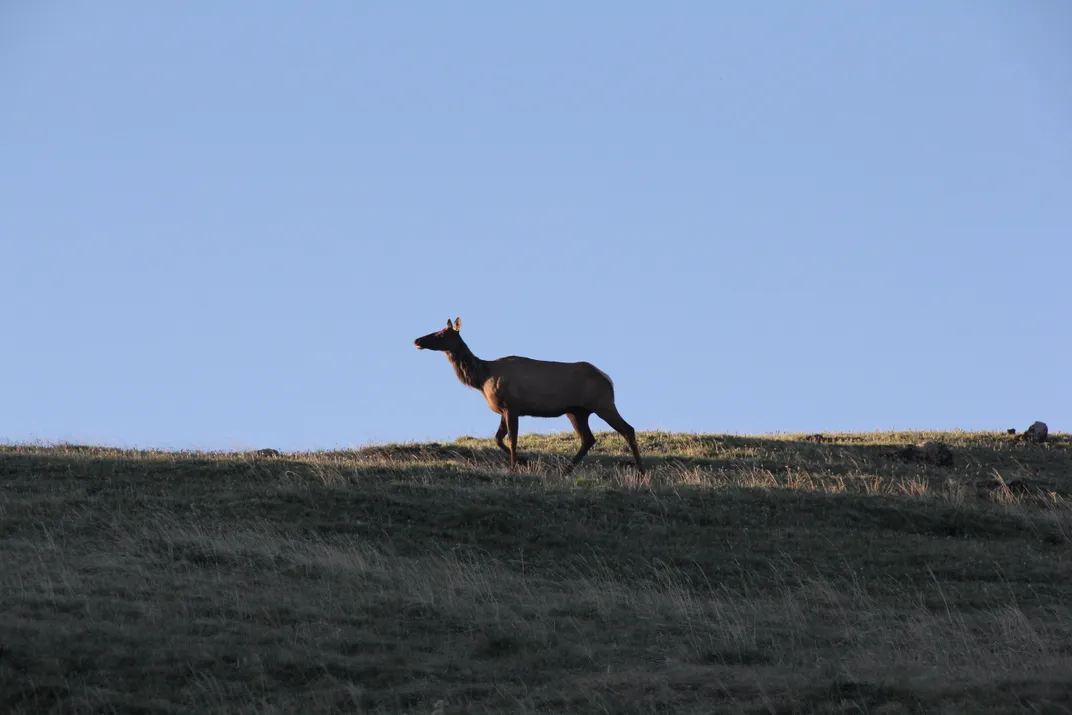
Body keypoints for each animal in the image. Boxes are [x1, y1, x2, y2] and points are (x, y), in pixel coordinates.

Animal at [413, 317, 645, 475]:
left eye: (441, 334)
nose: (417, 340)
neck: (482, 378)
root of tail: (608, 380)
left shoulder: (512, 406)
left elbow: (512, 439)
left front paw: (515, 466)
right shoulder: (503, 410)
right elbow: (498, 438)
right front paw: (525, 461)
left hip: (602, 402)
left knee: (628, 429)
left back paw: (641, 470)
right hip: (576, 412)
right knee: (588, 439)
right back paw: (566, 470)